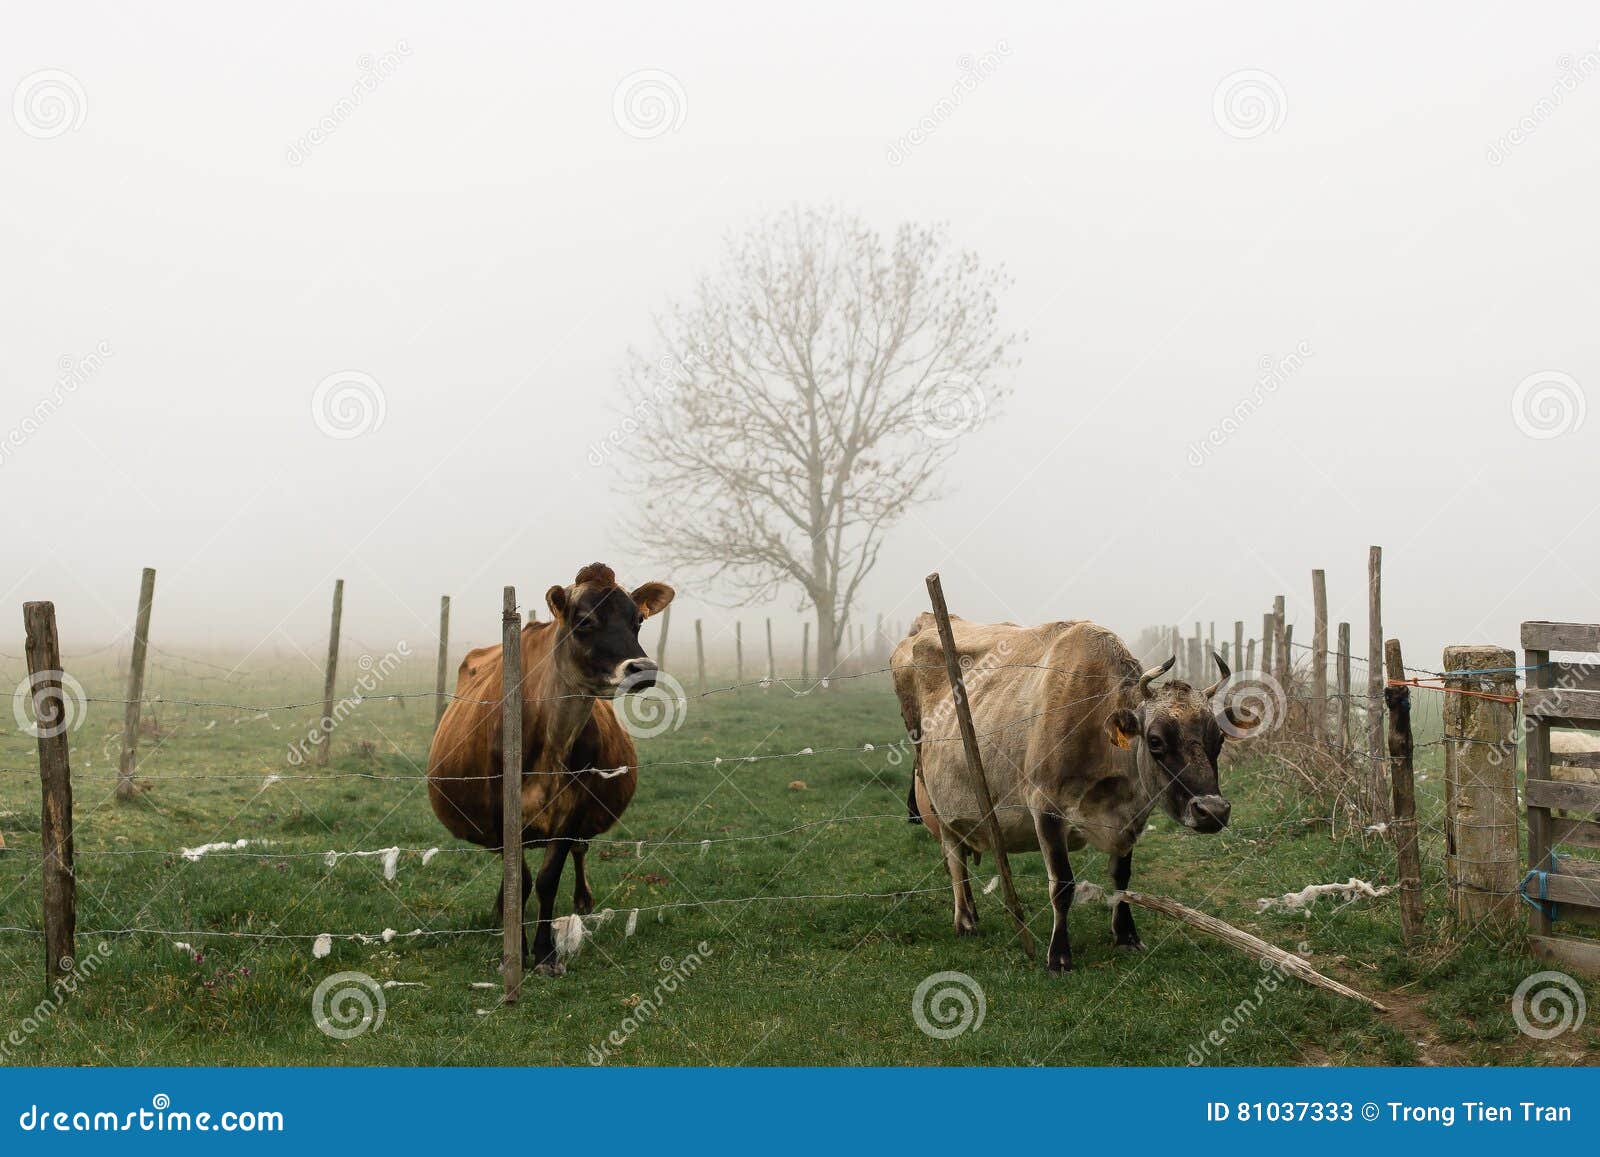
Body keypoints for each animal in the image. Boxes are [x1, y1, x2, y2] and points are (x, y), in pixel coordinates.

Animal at [427, 562, 674, 976]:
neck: (551, 740)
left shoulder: (574, 807)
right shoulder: (500, 807)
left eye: (638, 619)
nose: (642, 668)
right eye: (585, 620)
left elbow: (547, 880)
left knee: (579, 850)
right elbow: (520, 880)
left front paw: (545, 954)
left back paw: (583, 900)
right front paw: (516, 951)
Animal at [892, 614, 1256, 973]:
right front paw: (1059, 955)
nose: (1213, 811)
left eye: (1219, 739)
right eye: (1155, 741)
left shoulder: (1132, 817)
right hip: (937, 799)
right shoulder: (1045, 807)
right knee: (954, 858)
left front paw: (1126, 935)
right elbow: (1062, 885)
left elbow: (1122, 878)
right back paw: (965, 921)